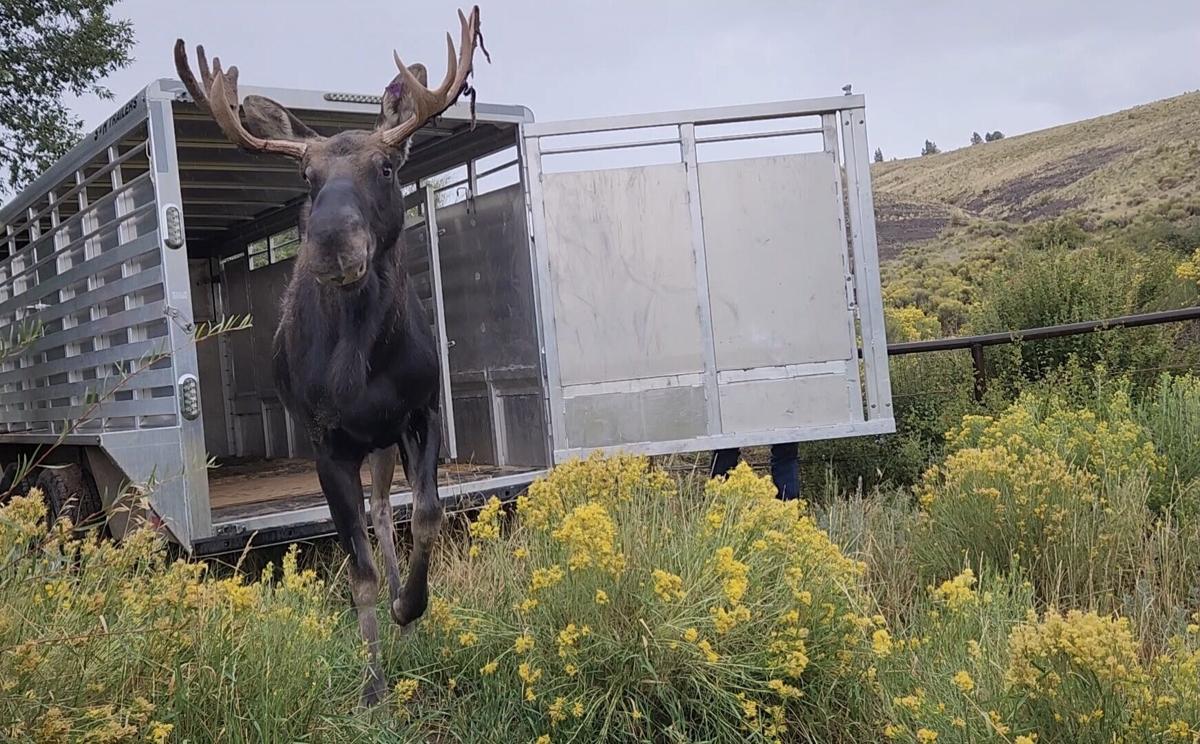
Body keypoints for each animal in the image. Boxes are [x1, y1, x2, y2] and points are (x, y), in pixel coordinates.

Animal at [174, 7, 487, 706]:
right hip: (361, 444)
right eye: (306, 178)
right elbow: (358, 571)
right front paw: (372, 688)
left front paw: (411, 608)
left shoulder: (421, 412)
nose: (329, 243)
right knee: (374, 522)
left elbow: (427, 514)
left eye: (388, 168)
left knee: (387, 513)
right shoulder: (326, 441)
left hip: (385, 441)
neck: (362, 369)